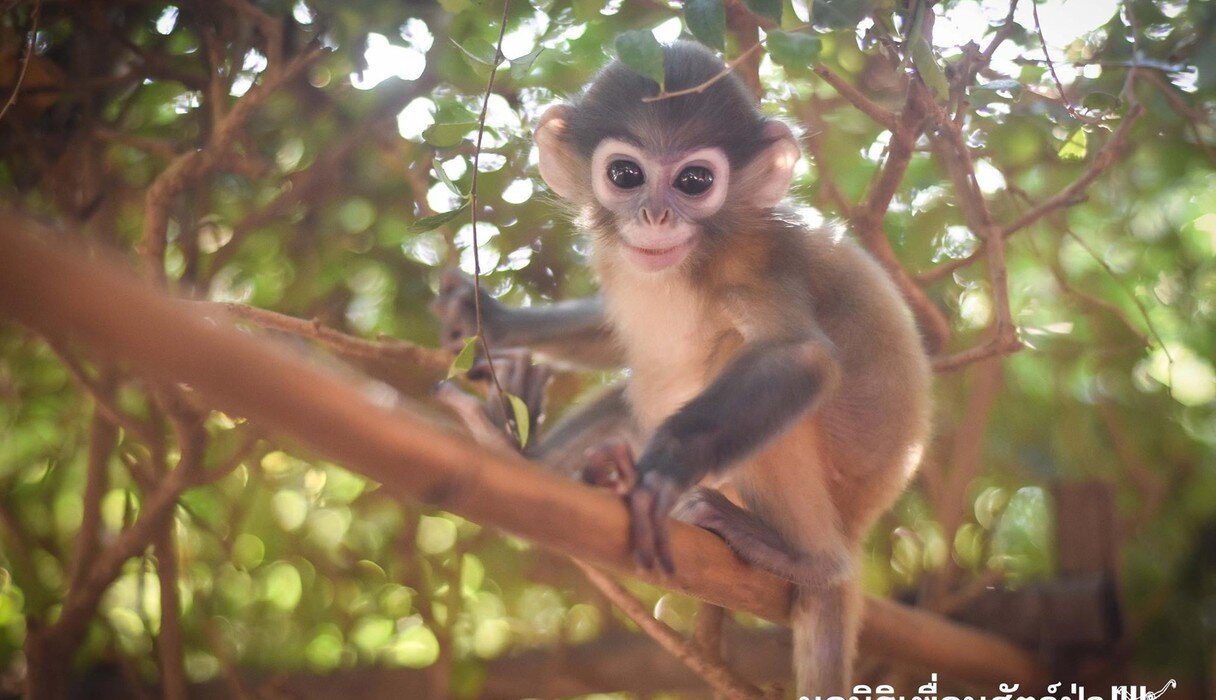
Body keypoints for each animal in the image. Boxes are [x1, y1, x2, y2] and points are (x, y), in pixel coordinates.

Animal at [432, 41, 931, 696]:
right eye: (626, 175)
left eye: (695, 181)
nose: (655, 216)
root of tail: (859, 524)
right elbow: (616, 336)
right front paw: (489, 319)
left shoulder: (758, 258)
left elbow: (802, 355)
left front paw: (662, 469)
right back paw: (517, 451)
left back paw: (806, 561)